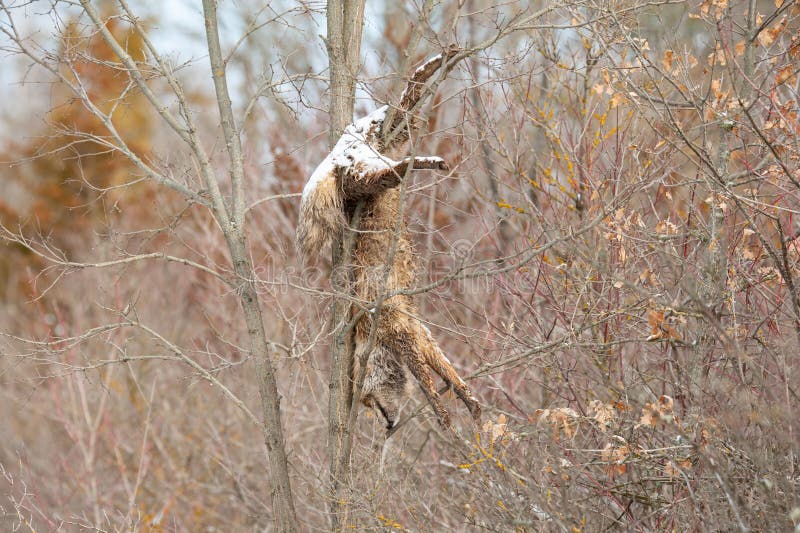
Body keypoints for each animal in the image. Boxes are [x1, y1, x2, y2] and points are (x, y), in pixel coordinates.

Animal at [297, 48, 481, 431]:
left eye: (371, 404)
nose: (388, 426)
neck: (373, 346)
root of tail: (344, 148)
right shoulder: (411, 327)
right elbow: (437, 359)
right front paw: (461, 392)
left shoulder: (394, 325)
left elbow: (423, 371)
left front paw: (439, 405)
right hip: (372, 157)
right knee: (404, 114)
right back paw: (433, 67)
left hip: (363, 170)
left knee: (391, 158)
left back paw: (417, 160)